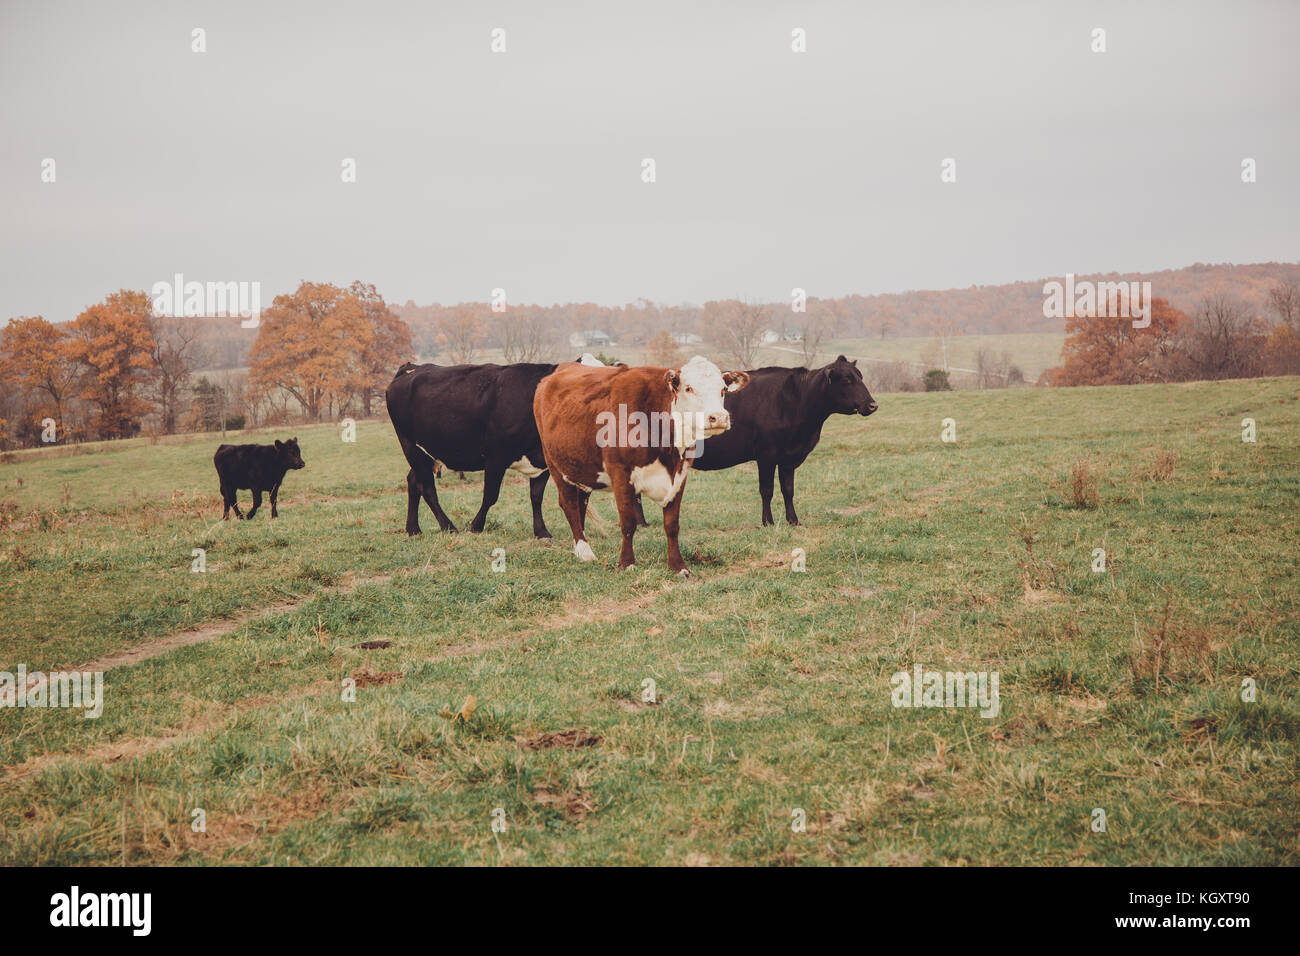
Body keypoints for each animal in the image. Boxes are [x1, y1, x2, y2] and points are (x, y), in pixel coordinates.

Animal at [386, 356, 605, 538]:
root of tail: (411, 368)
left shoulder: (542, 461)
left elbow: (536, 496)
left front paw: (542, 532)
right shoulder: (495, 456)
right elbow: (490, 495)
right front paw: (476, 526)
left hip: (427, 454)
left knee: (413, 481)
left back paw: (413, 529)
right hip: (411, 446)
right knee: (426, 487)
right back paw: (448, 527)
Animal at [533, 355, 750, 576]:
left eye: (722, 389)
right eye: (689, 388)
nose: (719, 417)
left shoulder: (680, 475)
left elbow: (672, 525)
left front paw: (678, 567)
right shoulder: (620, 473)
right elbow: (628, 522)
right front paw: (627, 563)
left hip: (582, 468)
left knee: (580, 504)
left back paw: (578, 547)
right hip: (555, 464)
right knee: (569, 504)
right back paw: (585, 552)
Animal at [690, 355, 877, 526]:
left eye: (860, 377)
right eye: (847, 379)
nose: (873, 405)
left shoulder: (789, 457)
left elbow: (788, 490)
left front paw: (793, 521)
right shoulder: (766, 455)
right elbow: (767, 490)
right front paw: (768, 522)